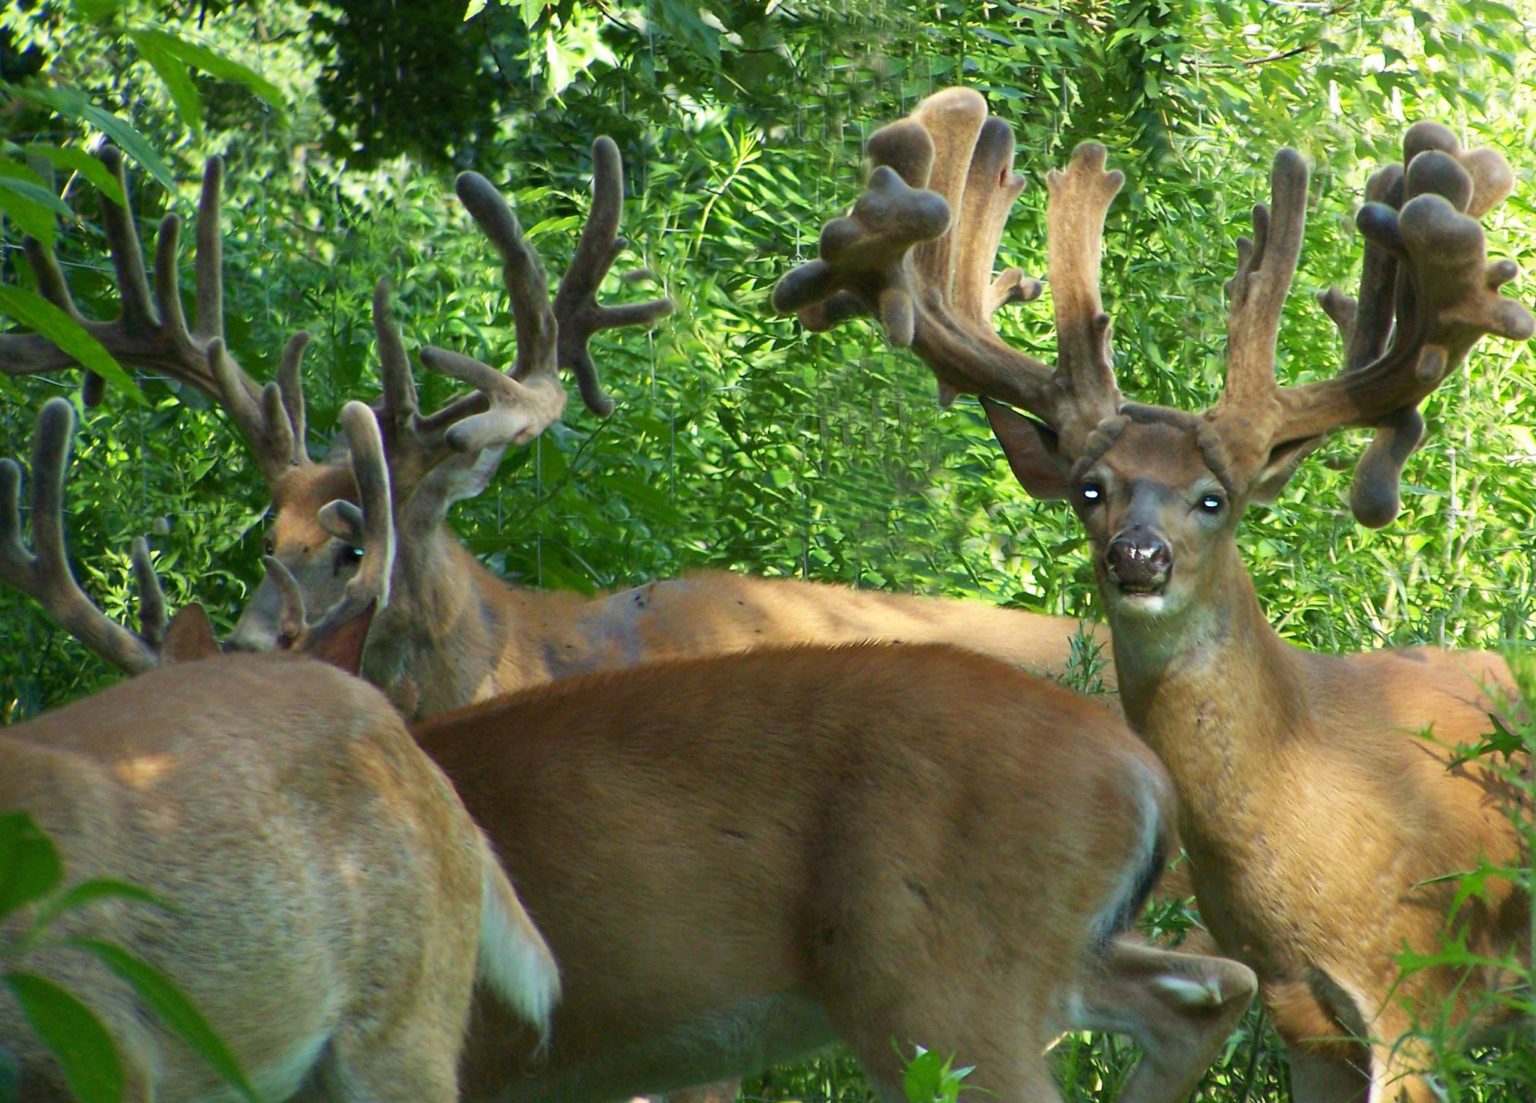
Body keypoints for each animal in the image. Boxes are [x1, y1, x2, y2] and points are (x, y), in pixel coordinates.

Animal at [775, 87, 1535, 1103]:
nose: (1139, 557)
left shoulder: (1415, 993)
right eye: (1091, 488)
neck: (1316, 798)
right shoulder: (1306, 1017)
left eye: (1215, 498)